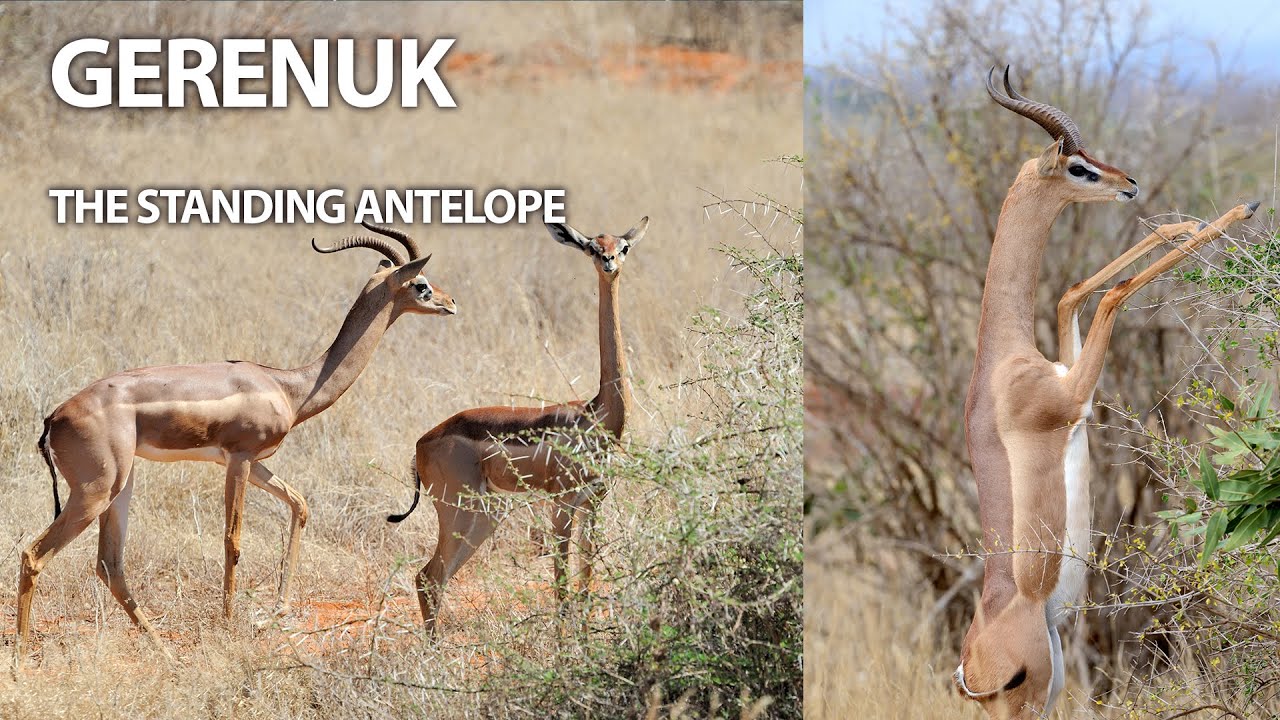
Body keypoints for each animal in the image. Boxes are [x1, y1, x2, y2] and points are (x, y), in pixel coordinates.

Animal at [19, 224, 456, 665]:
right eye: (420, 284)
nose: (451, 302)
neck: (288, 386)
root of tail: (54, 418)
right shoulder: (239, 460)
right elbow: (233, 539)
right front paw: (229, 623)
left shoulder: (254, 461)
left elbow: (299, 505)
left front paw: (275, 612)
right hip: (94, 492)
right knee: (33, 554)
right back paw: (21, 657)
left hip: (120, 487)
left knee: (109, 564)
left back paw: (166, 652)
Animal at [387, 216, 646, 633]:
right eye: (592, 247)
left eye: (622, 247)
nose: (609, 263)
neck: (598, 415)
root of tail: (421, 443)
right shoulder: (562, 504)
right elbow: (561, 585)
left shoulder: (594, 502)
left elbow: (586, 580)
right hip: (460, 511)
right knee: (428, 576)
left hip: (485, 516)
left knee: (435, 577)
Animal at [953, 66, 1257, 718]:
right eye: (1078, 167)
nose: (1129, 183)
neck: (1002, 359)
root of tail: (969, 668)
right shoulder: (1069, 400)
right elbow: (1113, 294)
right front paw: (1241, 208)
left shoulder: (1077, 387)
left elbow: (1072, 292)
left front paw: (1185, 223)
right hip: (1029, 698)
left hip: (1052, 684)